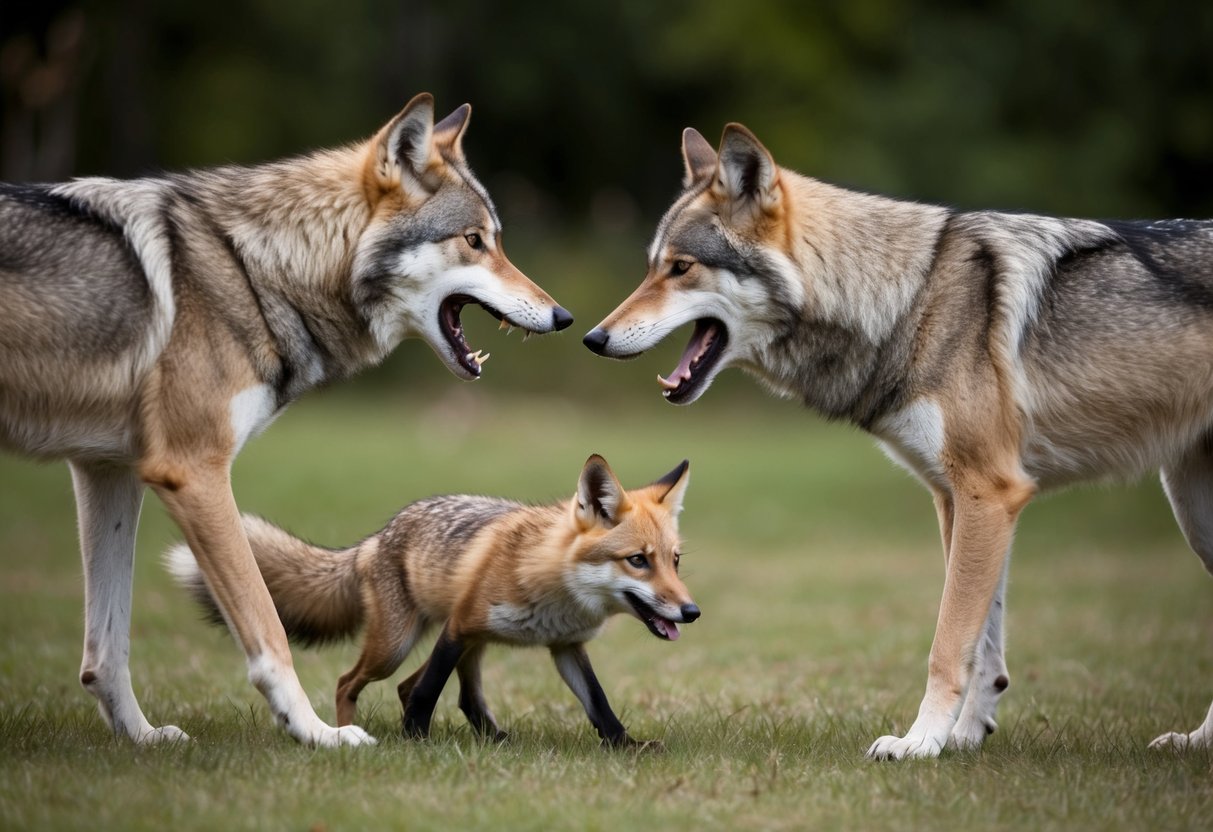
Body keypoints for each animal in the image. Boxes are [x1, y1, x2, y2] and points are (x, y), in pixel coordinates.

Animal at [0, 92, 573, 747]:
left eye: (495, 240)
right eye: (475, 241)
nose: (564, 316)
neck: (255, 268)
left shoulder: (108, 471)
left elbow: (107, 647)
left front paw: (140, 739)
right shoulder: (193, 472)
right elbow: (268, 629)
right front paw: (315, 733)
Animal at [166, 454, 700, 748]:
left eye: (674, 561)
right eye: (637, 560)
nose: (691, 612)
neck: (557, 588)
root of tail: (375, 539)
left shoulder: (565, 646)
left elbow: (599, 703)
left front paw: (626, 746)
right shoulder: (460, 626)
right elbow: (426, 693)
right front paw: (414, 743)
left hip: (474, 644)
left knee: (446, 693)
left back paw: (494, 740)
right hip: (398, 645)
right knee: (352, 682)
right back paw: (344, 733)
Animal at [584, 121, 1213, 759]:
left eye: (681, 268)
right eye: (651, 267)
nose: (593, 338)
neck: (909, 301)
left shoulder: (990, 493)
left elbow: (947, 644)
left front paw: (919, 743)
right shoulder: (958, 500)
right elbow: (984, 651)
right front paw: (962, 739)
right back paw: (1195, 741)